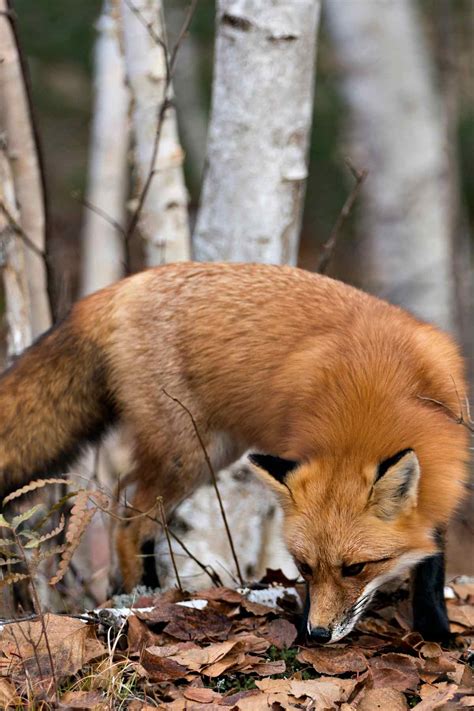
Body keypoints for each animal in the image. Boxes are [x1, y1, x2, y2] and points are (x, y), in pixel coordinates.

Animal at [0, 262, 469, 643]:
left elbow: (433, 560)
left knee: (130, 510)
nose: (318, 634)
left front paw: (435, 629)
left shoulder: (443, 470)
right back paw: (141, 597)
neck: (372, 389)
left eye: (355, 568)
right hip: (187, 454)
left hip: (213, 452)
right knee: (129, 524)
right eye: (304, 567)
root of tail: (123, 285)